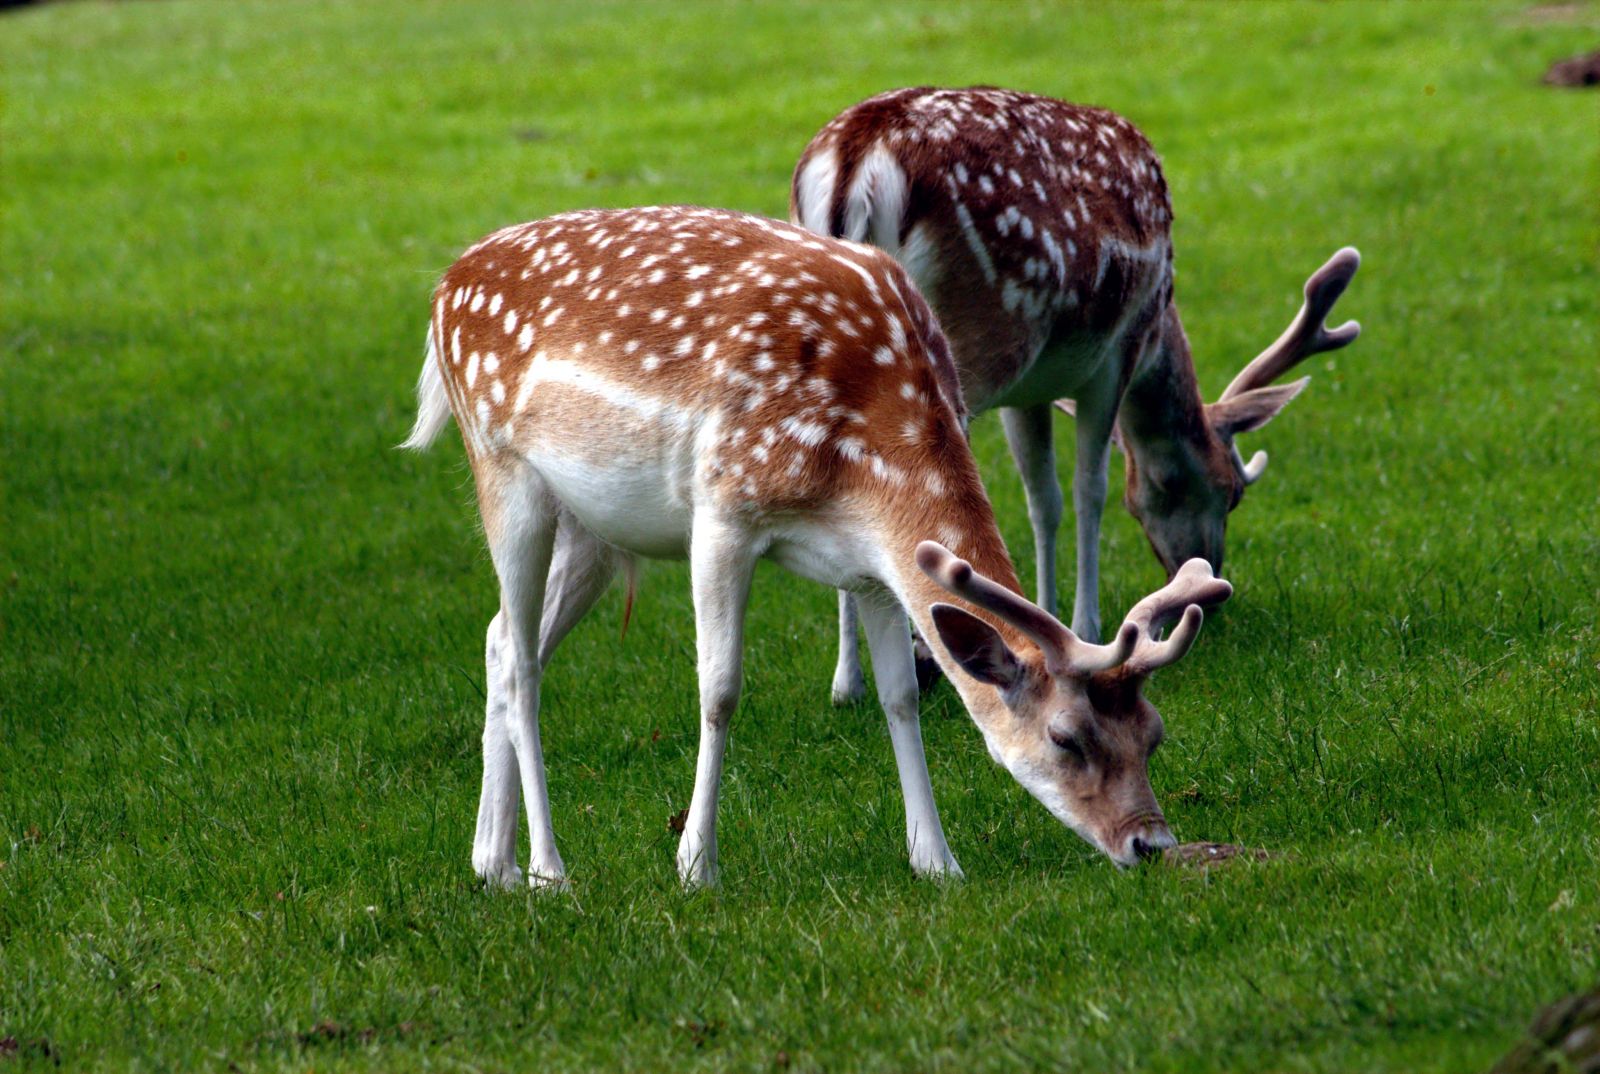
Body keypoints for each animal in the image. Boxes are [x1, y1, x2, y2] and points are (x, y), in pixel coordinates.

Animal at [402, 205, 1234, 888]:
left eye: (1154, 734)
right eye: (1066, 738)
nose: (1150, 843)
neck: (860, 468)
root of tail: (445, 286)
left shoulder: (870, 567)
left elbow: (901, 696)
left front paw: (937, 860)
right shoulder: (722, 509)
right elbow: (719, 690)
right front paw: (695, 865)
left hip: (593, 528)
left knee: (501, 639)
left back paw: (493, 863)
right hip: (503, 471)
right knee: (523, 660)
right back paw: (549, 868)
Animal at [791, 86, 1358, 704]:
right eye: (1227, 491)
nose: (1208, 575)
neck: (1160, 334)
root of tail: (856, 163)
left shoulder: (1029, 391)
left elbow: (1044, 501)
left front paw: (1042, 615)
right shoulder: (1113, 356)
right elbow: (1091, 490)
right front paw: (1085, 625)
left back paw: (849, 683)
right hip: (963, 345)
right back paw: (922, 661)